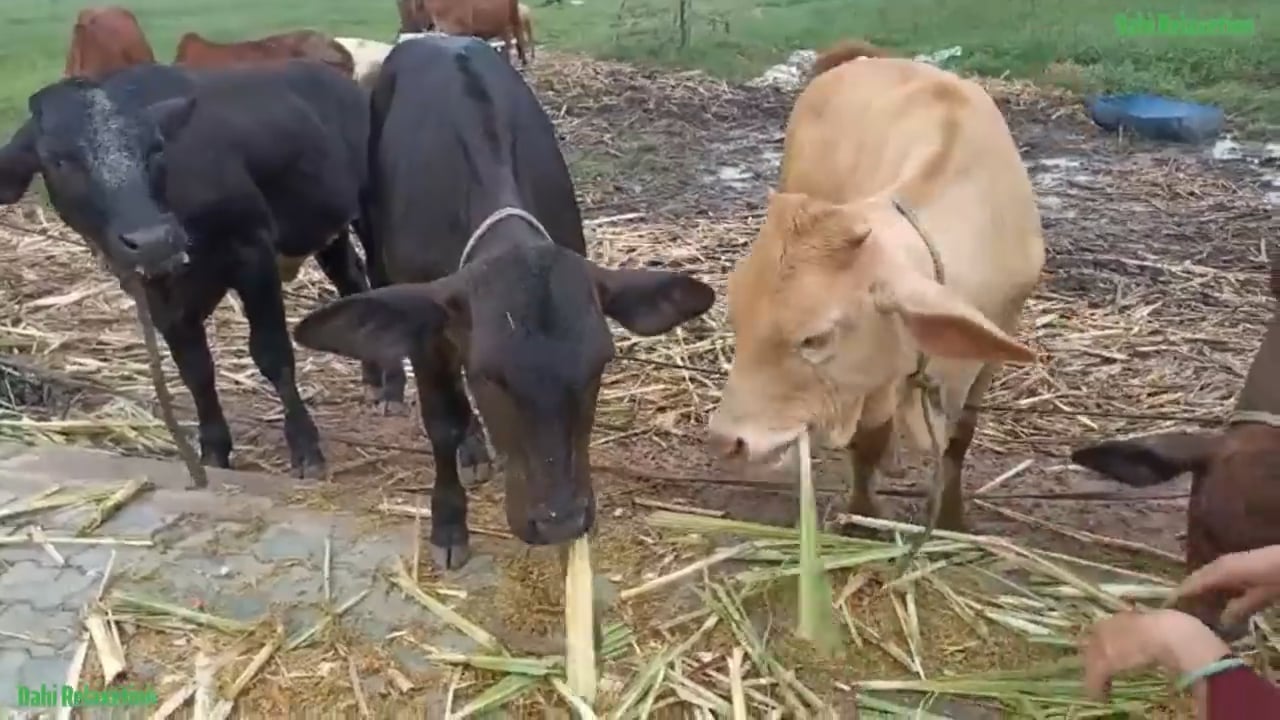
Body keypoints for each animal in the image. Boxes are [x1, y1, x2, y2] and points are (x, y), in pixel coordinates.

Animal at [0, 61, 387, 479]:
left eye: (156, 148)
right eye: (58, 161)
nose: (153, 239)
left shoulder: (252, 252)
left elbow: (272, 353)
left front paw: (306, 448)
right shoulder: (155, 292)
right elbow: (195, 369)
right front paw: (214, 450)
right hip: (327, 231)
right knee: (351, 279)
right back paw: (373, 375)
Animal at [291, 36, 715, 571]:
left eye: (600, 364)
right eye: (489, 375)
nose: (560, 522)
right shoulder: (429, 328)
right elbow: (441, 422)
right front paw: (449, 524)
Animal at [705, 39, 1045, 534]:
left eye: (815, 338)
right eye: (737, 322)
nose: (727, 441)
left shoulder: (993, 343)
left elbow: (960, 438)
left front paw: (951, 517)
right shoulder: (873, 374)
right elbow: (868, 440)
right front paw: (863, 516)